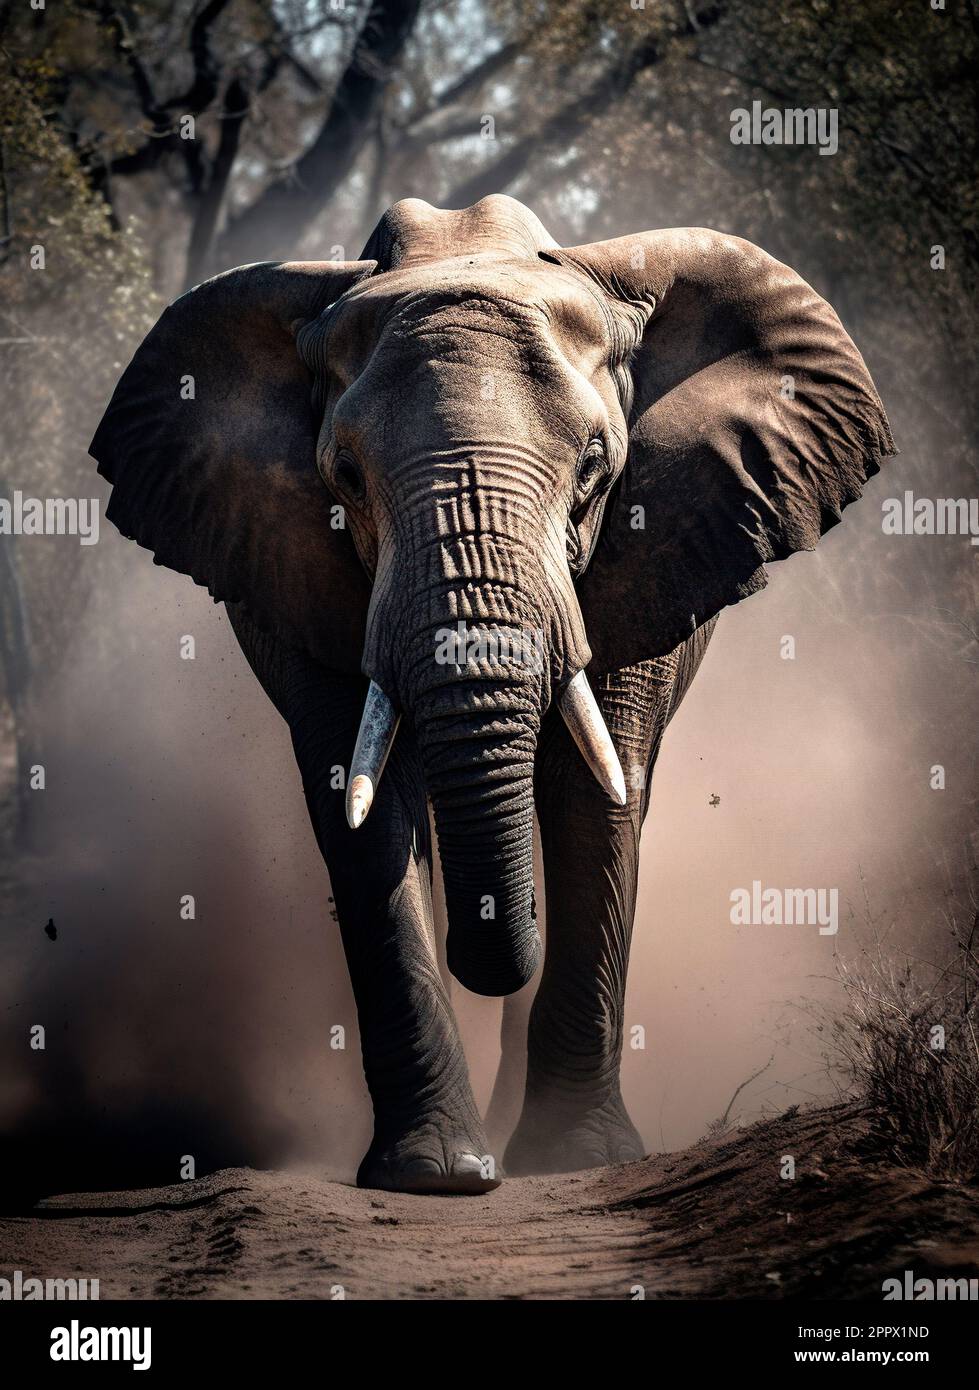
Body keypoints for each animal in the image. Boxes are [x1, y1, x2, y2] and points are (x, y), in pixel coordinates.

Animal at [90, 195, 894, 1194]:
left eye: (594, 469)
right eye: (343, 478)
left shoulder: (653, 544)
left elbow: (594, 795)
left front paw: (571, 1159)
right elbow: (359, 807)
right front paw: (433, 1173)